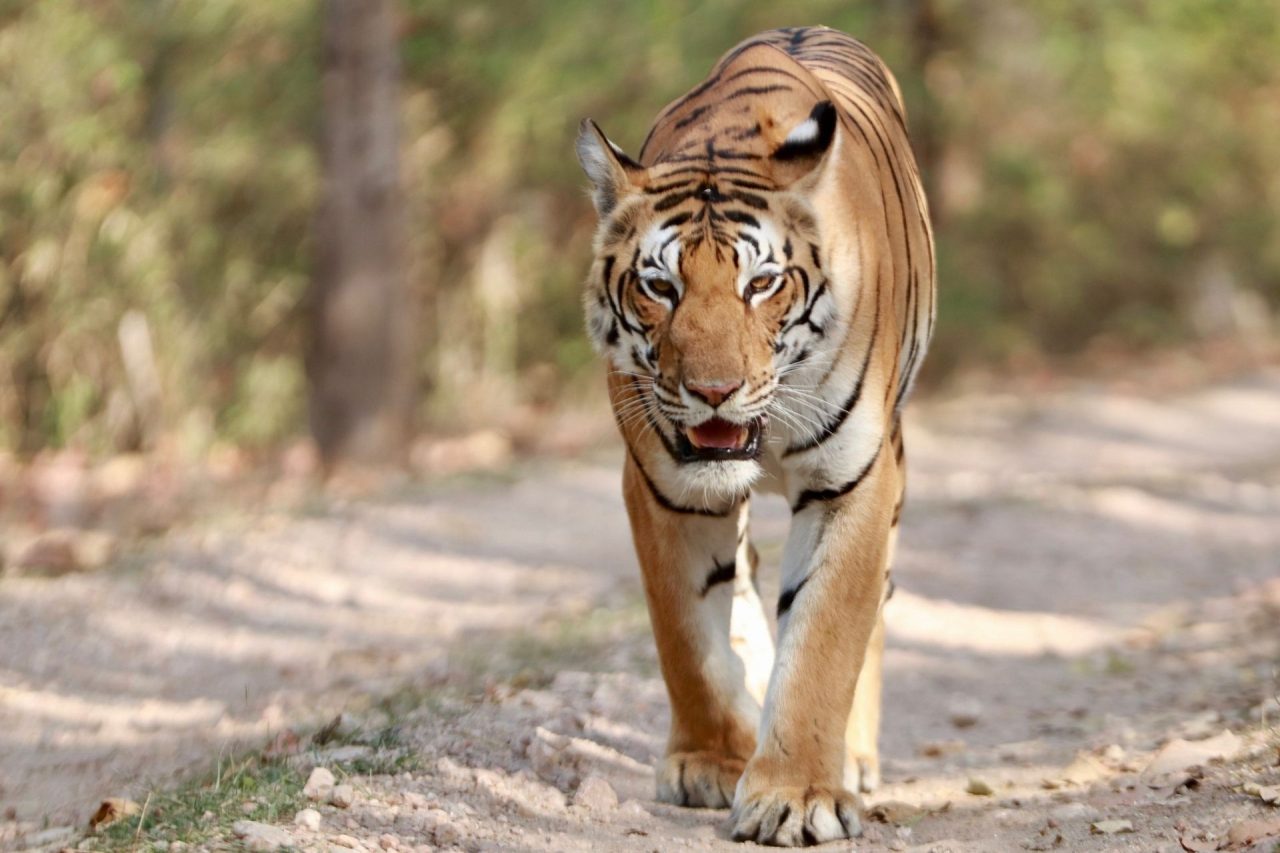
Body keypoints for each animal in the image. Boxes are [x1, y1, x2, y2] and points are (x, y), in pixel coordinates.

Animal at [575, 26, 935, 846]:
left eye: (761, 284)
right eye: (661, 286)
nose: (713, 391)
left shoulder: (854, 479)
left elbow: (826, 636)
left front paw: (796, 795)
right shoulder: (663, 483)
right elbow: (688, 635)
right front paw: (711, 760)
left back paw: (854, 759)